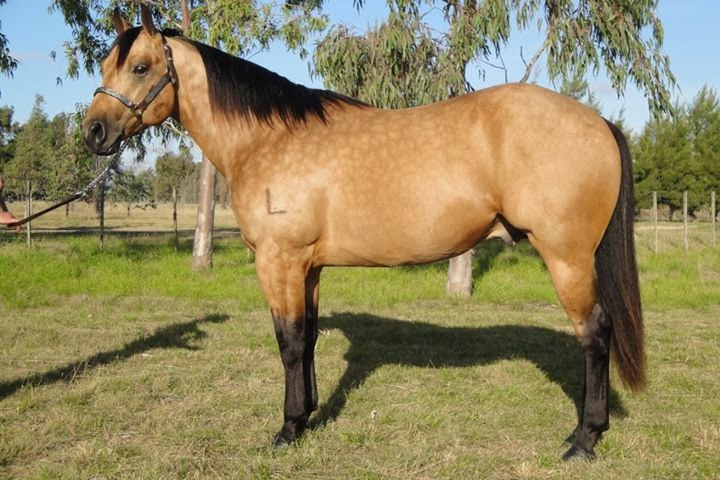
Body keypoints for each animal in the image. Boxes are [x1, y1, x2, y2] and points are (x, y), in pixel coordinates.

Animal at [82, 6, 644, 461]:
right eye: (105, 66)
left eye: (140, 67)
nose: (93, 132)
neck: (267, 140)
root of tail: (598, 121)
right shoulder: (307, 268)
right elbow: (307, 337)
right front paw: (307, 416)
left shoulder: (278, 261)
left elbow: (288, 342)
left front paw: (286, 430)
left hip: (567, 257)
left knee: (595, 333)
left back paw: (584, 439)